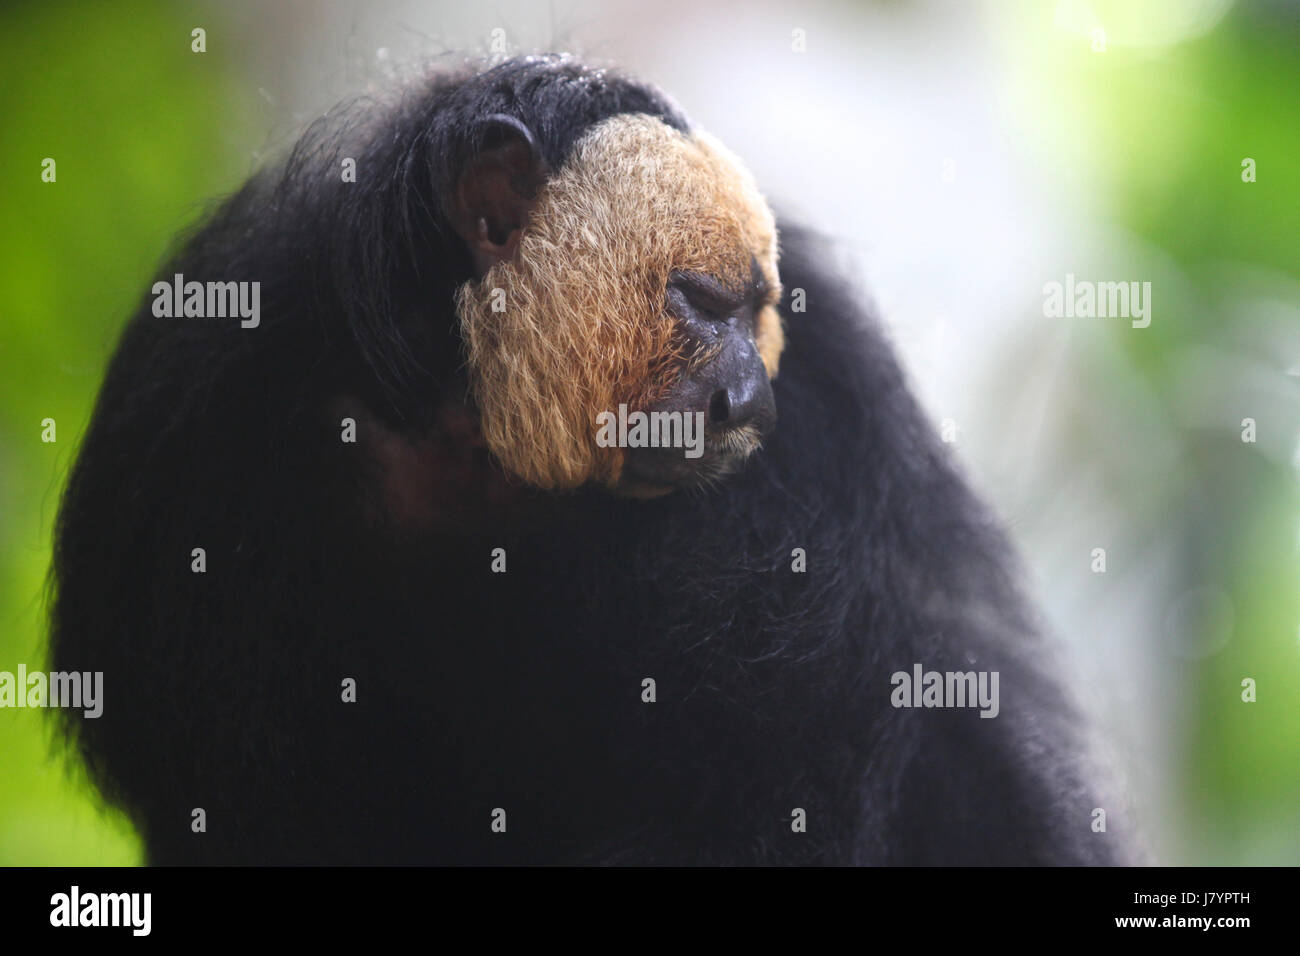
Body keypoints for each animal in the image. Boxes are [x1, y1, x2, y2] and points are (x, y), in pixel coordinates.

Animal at [49, 55, 1128, 865]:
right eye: (703, 300)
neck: (466, 432)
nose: (751, 402)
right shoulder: (190, 449)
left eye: (758, 311)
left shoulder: (817, 440)